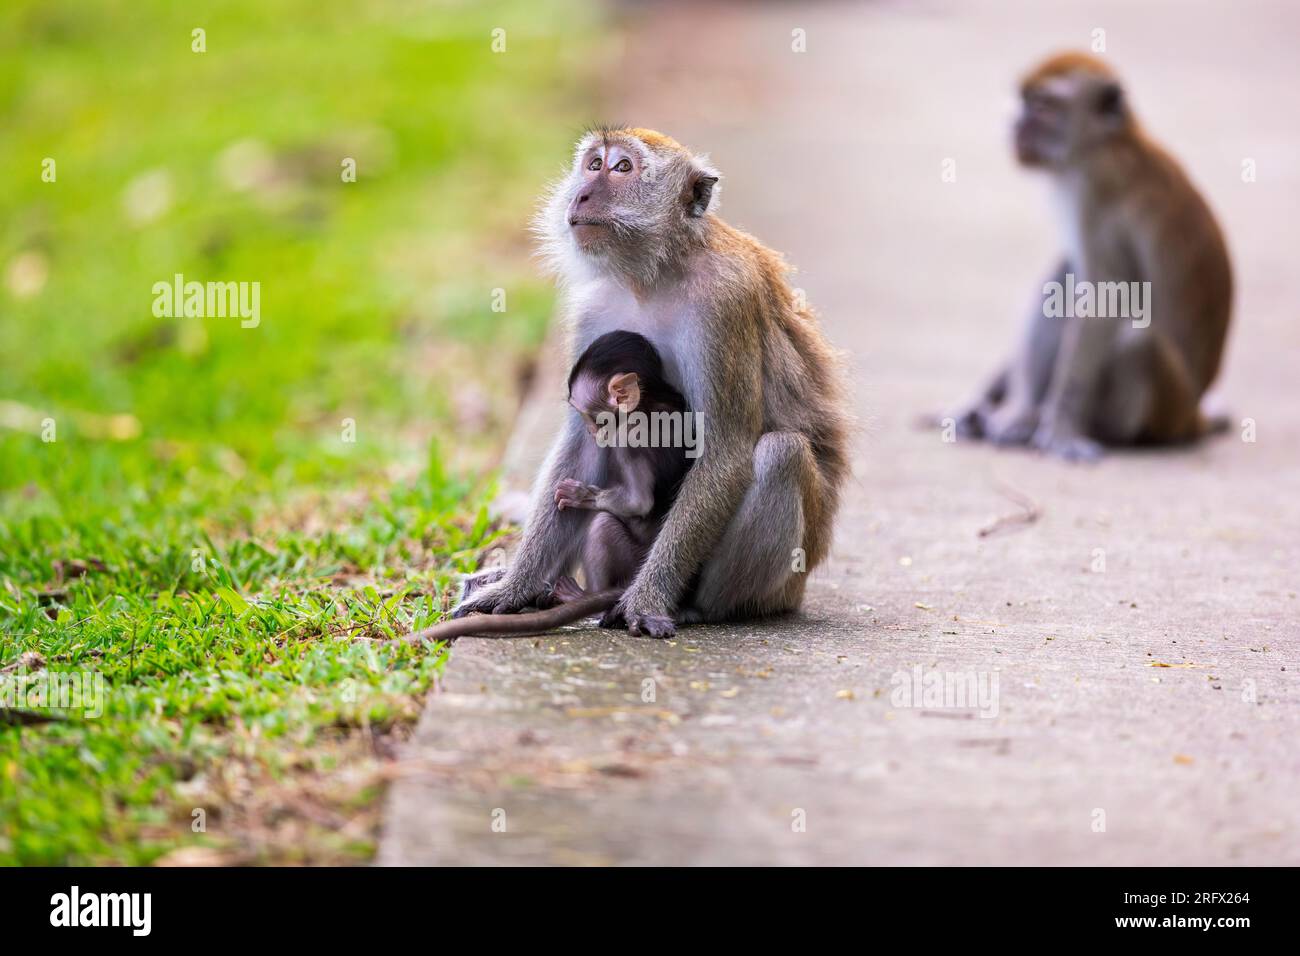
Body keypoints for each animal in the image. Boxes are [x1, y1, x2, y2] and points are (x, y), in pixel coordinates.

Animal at [404, 330, 693, 641]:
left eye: (589, 415)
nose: (590, 430)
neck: (651, 401)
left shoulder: (626, 436)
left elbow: (638, 501)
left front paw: (581, 495)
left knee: (601, 525)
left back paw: (581, 596)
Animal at [449, 126, 851, 637]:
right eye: (593, 164)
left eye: (622, 168)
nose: (582, 192)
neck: (653, 275)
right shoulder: (593, 308)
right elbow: (584, 437)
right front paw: (515, 587)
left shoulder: (725, 302)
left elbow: (725, 451)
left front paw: (648, 599)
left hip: (784, 581)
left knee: (782, 453)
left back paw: (699, 608)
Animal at [946, 52, 1232, 461]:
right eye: (1024, 101)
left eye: (1044, 106)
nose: (1015, 123)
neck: (1109, 143)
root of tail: (1195, 418)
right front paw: (999, 407)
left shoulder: (1094, 192)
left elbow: (1104, 300)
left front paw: (1060, 430)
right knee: (1063, 274)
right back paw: (1017, 413)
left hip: (1169, 409)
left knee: (1137, 340)